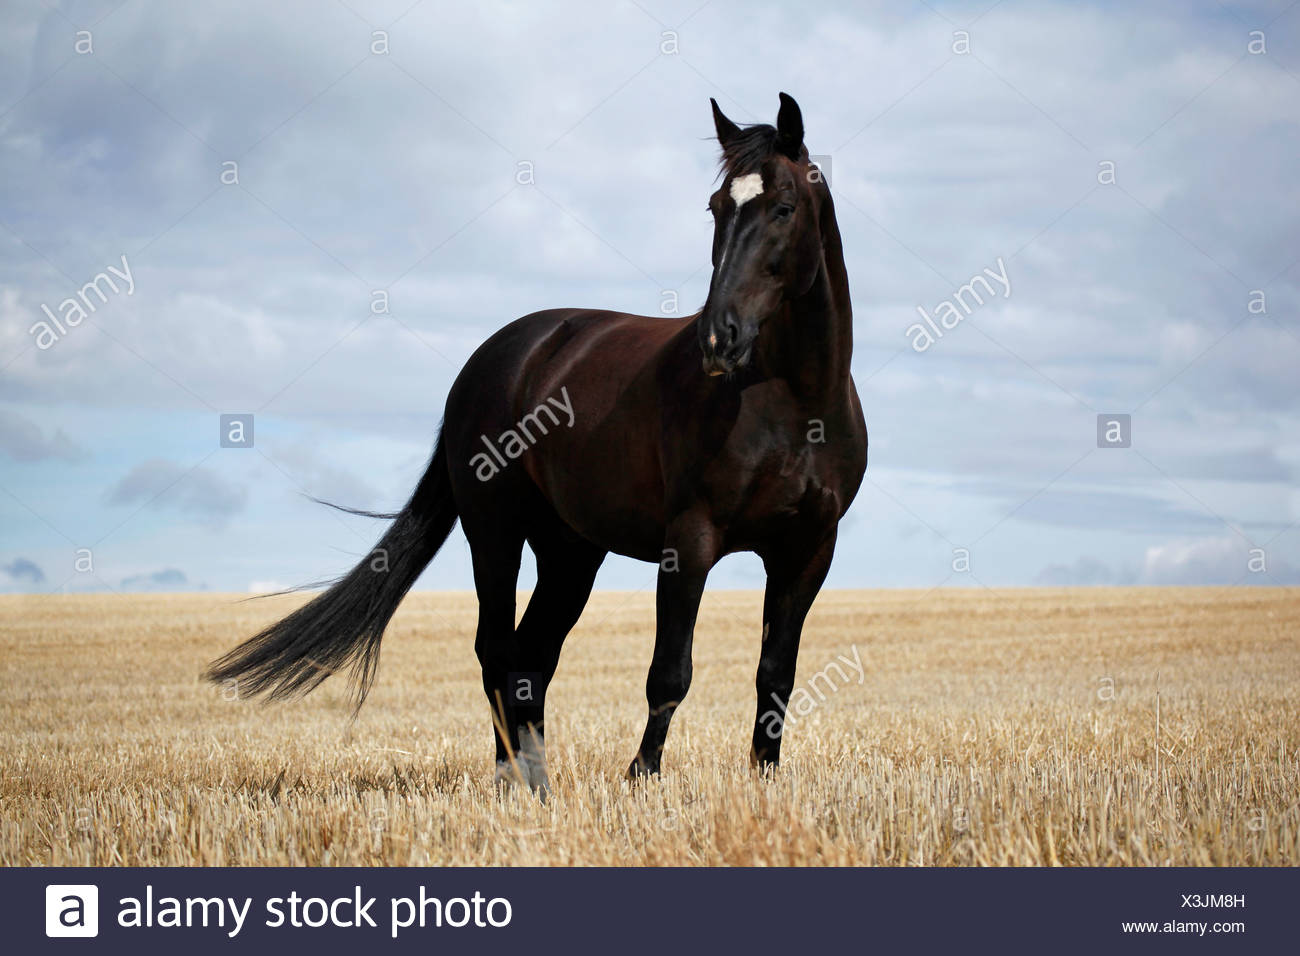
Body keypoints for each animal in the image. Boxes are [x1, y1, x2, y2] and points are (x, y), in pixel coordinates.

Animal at [205, 92, 867, 793]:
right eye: (716, 207)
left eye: (784, 207)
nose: (720, 339)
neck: (793, 402)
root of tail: (494, 358)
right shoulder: (690, 540)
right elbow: (670, 672)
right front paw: (640, 778)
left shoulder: (807, 551)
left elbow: (776, 676)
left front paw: (763, 782)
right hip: (494, 530)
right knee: (498, 649)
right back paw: (515, 784)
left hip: (570, 550)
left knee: (534, 655)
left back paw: (536, 781)